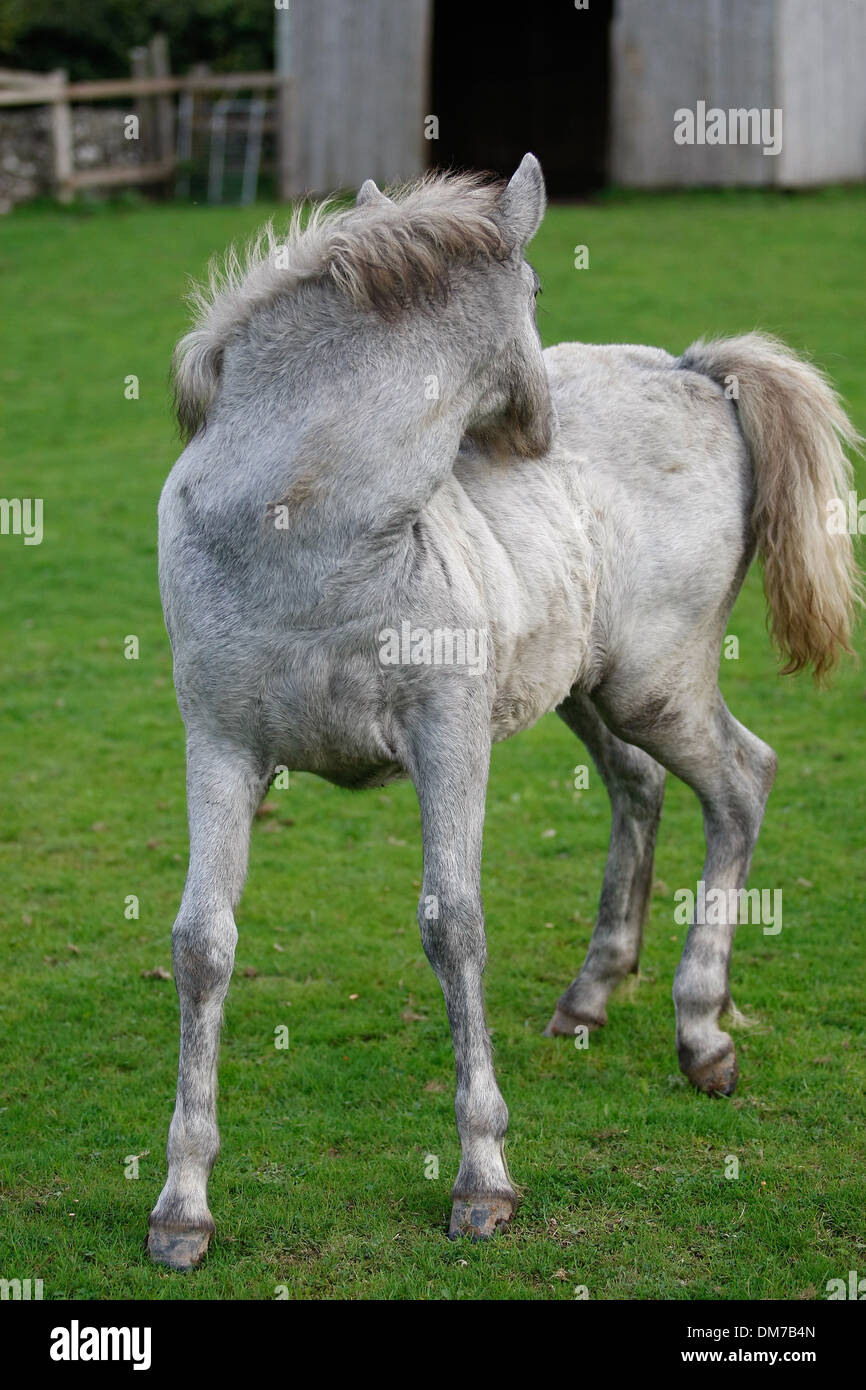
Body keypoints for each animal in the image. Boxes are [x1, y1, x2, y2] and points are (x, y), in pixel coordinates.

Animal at [148, 155, 859, 1268]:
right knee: (640, 786)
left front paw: (482, 1180)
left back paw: (701, 1032)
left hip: (653, 685)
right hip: (588, 689)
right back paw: (590, 995)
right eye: (535, 289)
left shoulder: (447, 736)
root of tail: (698, 371)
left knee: (742, 781)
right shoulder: (220, 743)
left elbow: (454, 926)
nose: (540, 432)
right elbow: (202, 945)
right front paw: (182, 1205)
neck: (297, 531)